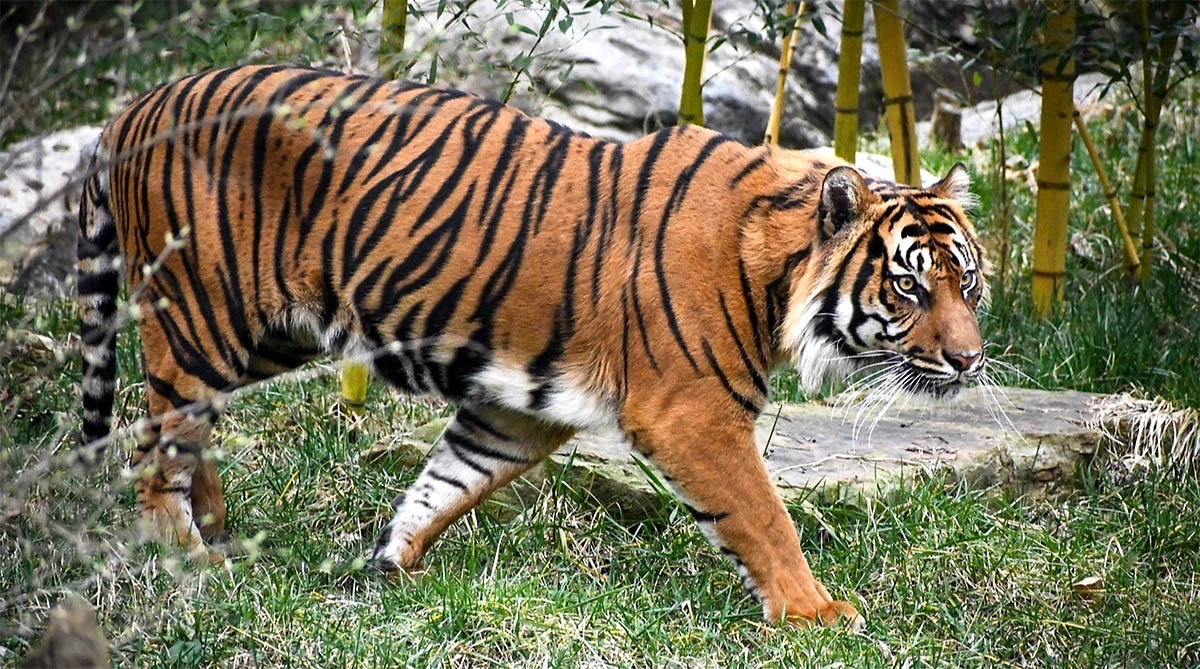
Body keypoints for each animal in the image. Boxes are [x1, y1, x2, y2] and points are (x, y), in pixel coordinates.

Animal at [77, 64, 985, 629]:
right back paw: (191, 555)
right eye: (911, 287)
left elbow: (447, 483)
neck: (773, 269)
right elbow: (764, 514)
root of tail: (132, 108)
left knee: (182, 431)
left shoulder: (520, 409)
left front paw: (393, 561)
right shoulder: (691, 412)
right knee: (151, 443)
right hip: (205, 315)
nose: (972, 360)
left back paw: (222, 528)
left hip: (269, 332)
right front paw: (815, 612)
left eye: (968, 284)